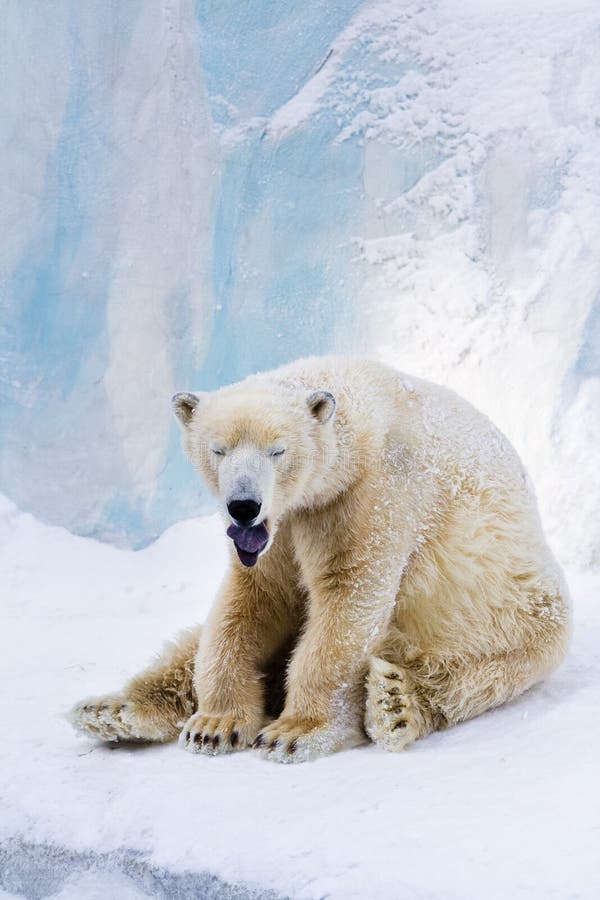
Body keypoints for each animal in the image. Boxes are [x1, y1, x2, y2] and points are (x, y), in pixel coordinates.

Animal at [71, 356, 571, 762]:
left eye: (278, 450)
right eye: (218, 449)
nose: (244, 506)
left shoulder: (370, 497)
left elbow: (346, 599)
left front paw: (292, 733)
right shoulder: (282, 528)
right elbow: (250, 601)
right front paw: (214, 726)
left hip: (513, 612)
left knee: (476, 670)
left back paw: (396, 703)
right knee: (190, 646)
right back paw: (110, 710)